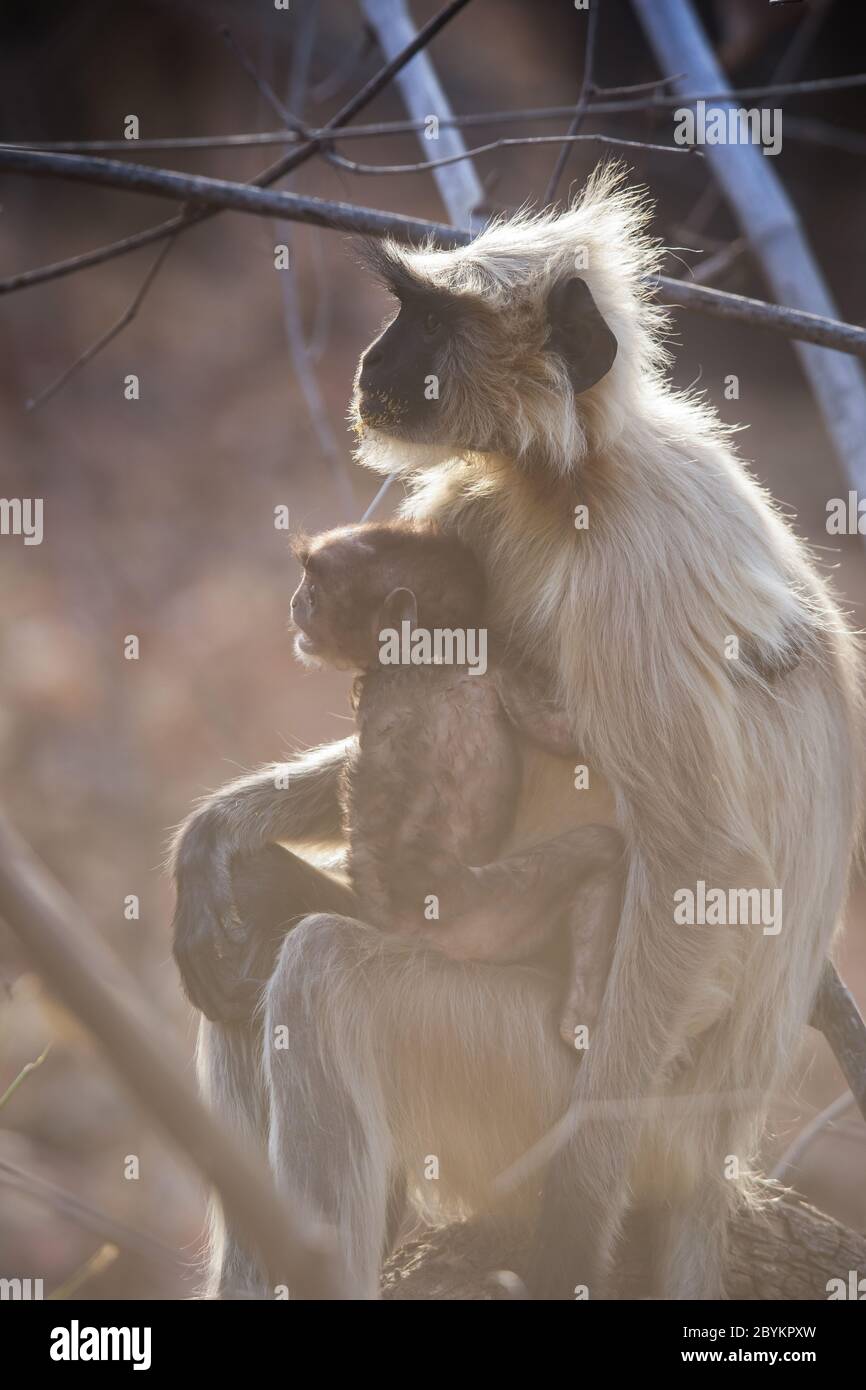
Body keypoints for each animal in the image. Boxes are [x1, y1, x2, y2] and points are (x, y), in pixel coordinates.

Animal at [287, 519, 624, 1044]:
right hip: (486, 916)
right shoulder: (492, 658)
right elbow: (564, 735)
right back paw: (579, 1015)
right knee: (601, 851)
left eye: (315, 591)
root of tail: (407, 932)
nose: (296, 602)